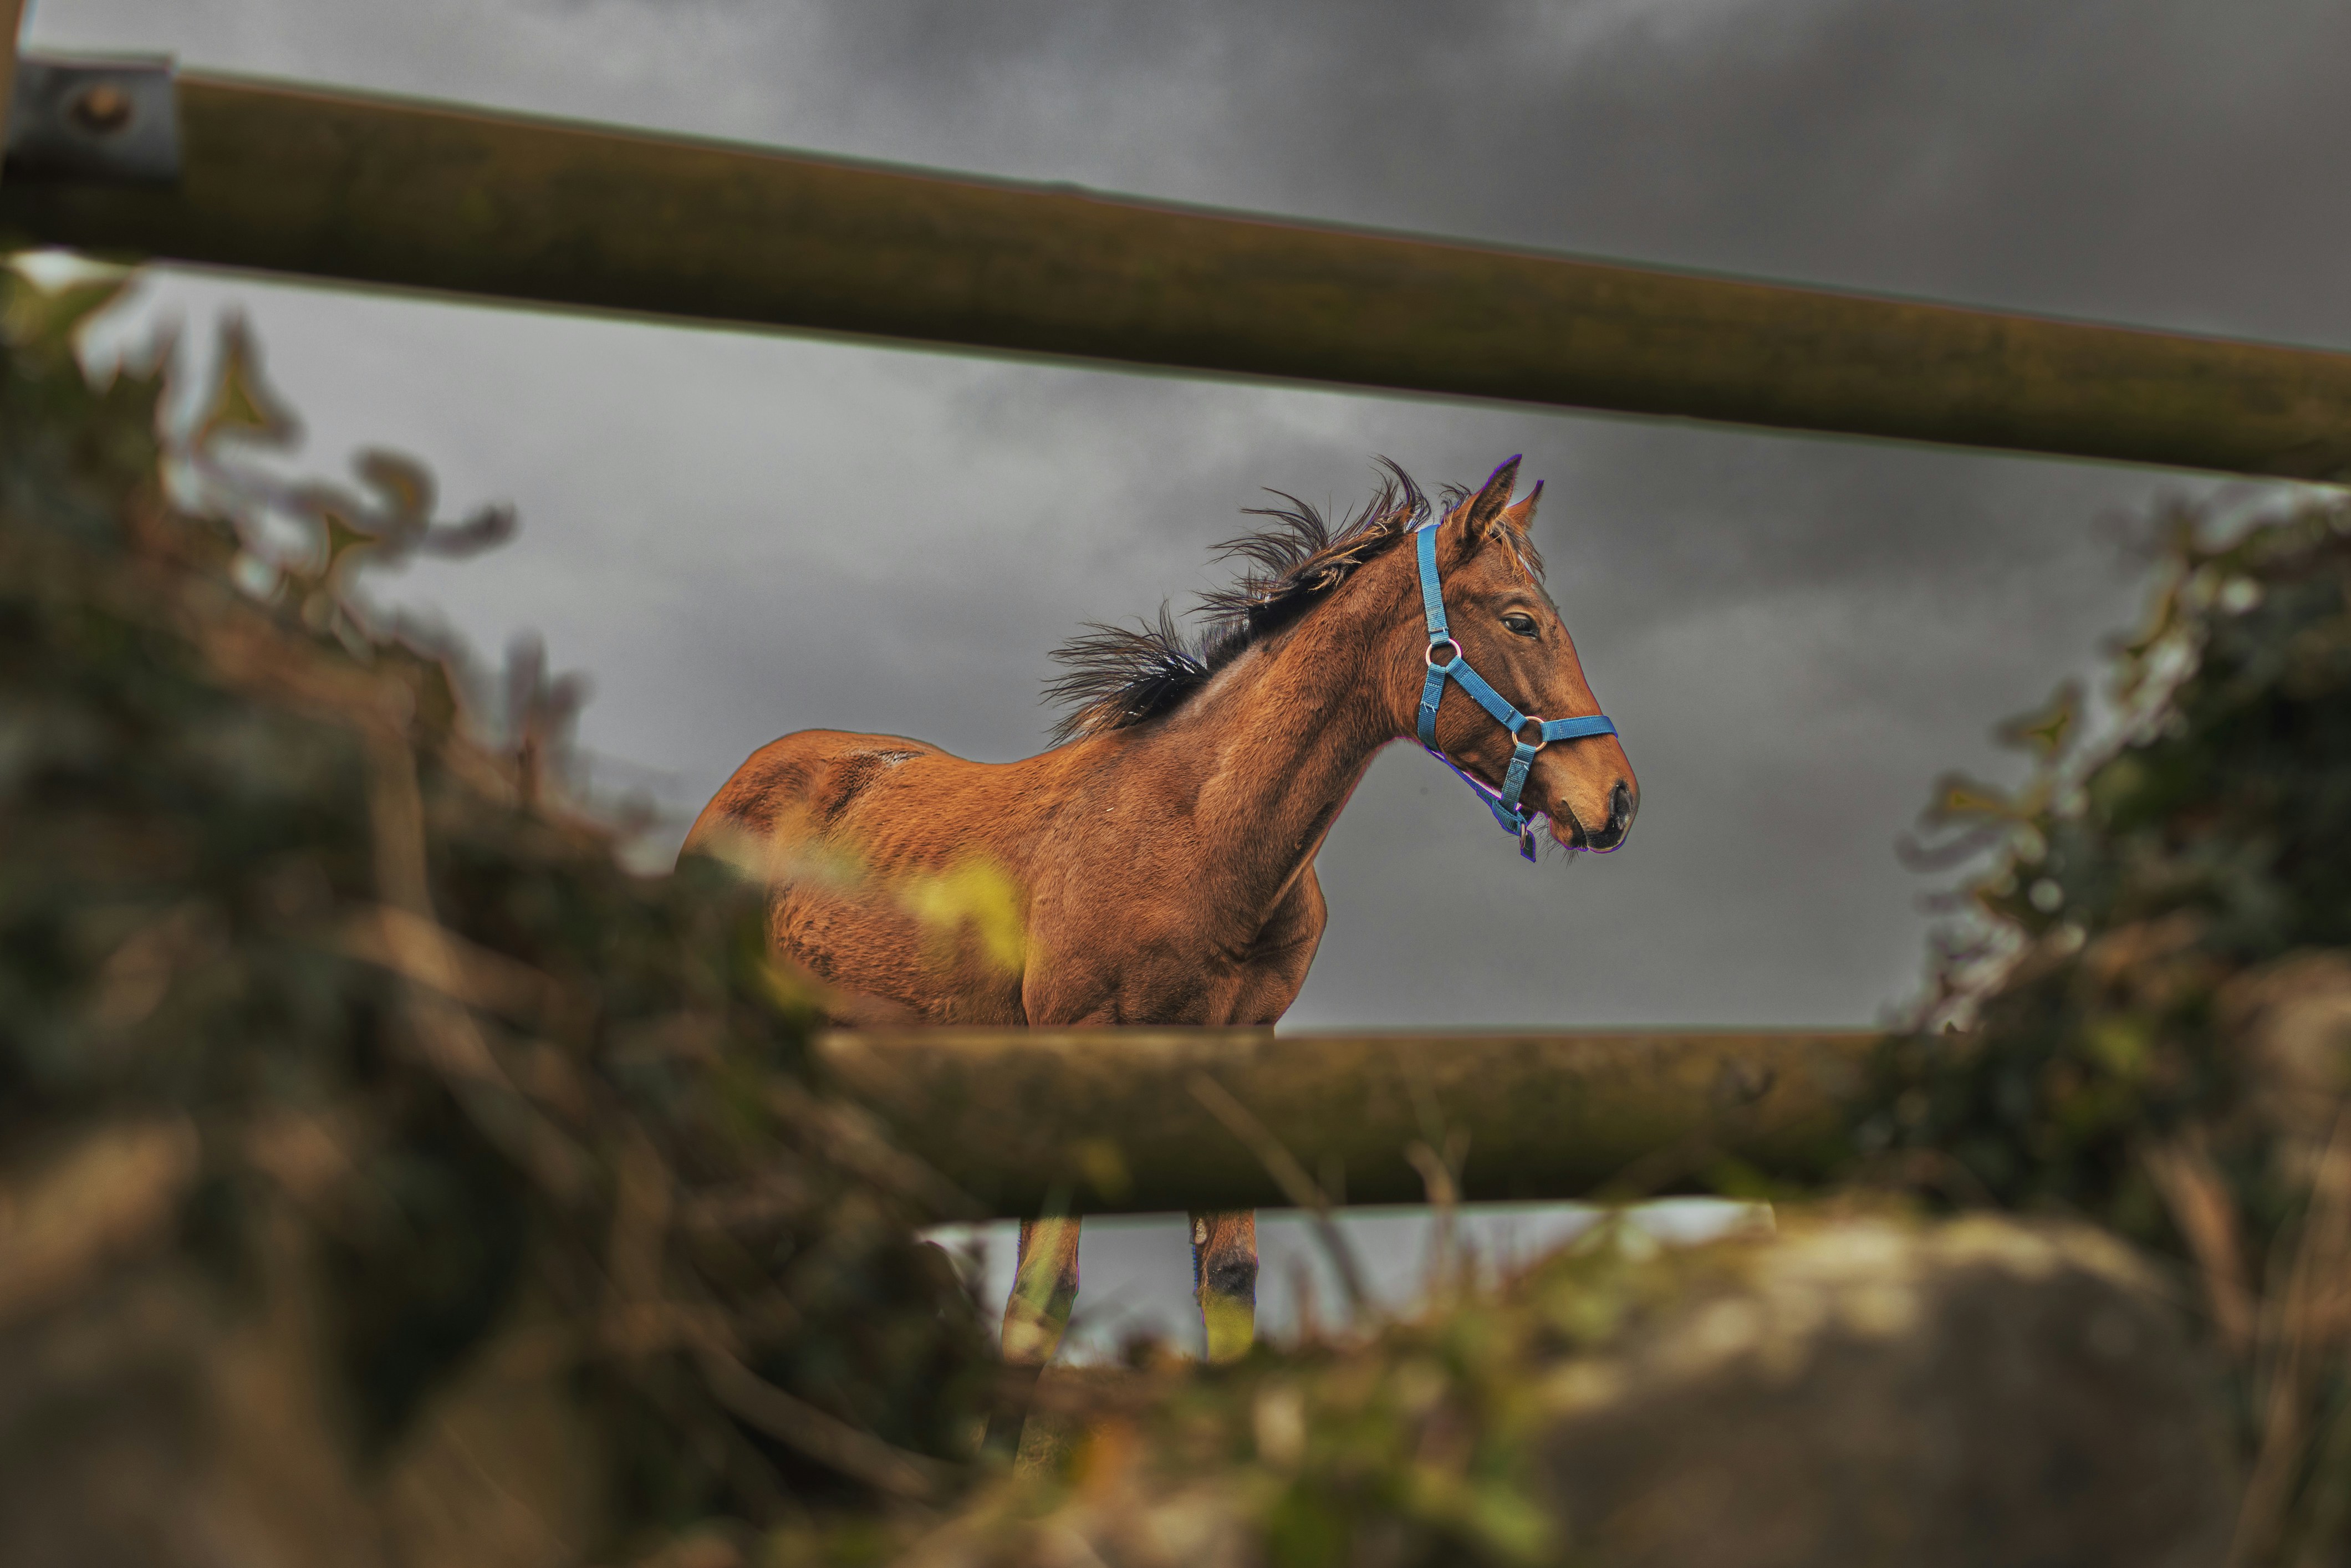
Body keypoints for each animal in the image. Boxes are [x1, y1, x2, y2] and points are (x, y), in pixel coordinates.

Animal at [684, 455, 1636, 1365]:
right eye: (1520, 620)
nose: (1618, 799)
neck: (1198, 837)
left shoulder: (1232, 1053)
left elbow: (1229, 1281)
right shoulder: (1080, 1046)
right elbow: (1044, 1296)